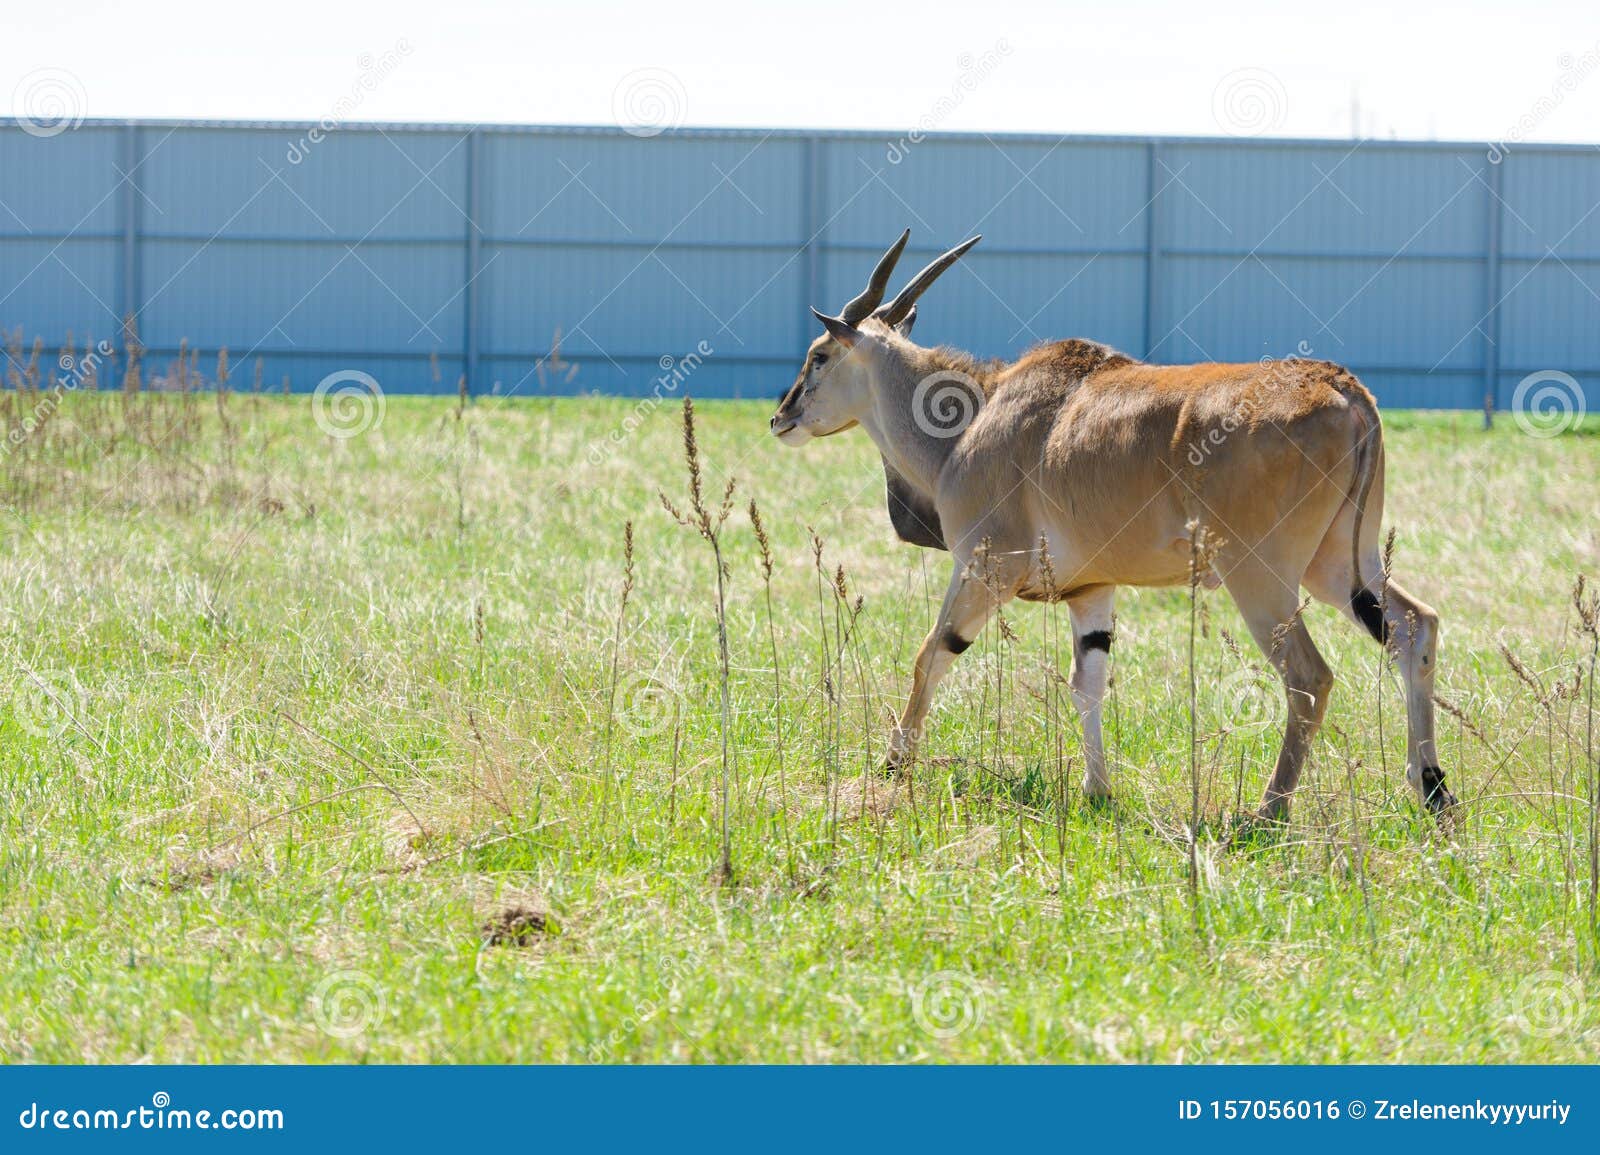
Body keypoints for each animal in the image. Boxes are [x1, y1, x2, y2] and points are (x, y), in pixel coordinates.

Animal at [769, 230, 1458, 824]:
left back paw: (1267, 811)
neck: (977, 417)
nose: (781, 416)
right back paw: (1432, 790)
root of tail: (1344, 388)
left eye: (819, 356)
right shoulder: (1092, 593)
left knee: (1310, 678)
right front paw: (1097, 789)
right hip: (1340, 567)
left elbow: (931, 655)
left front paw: (894, 766)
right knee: (1414, 628)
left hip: (1260, 578)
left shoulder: (985, 568)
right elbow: (1088, 684)